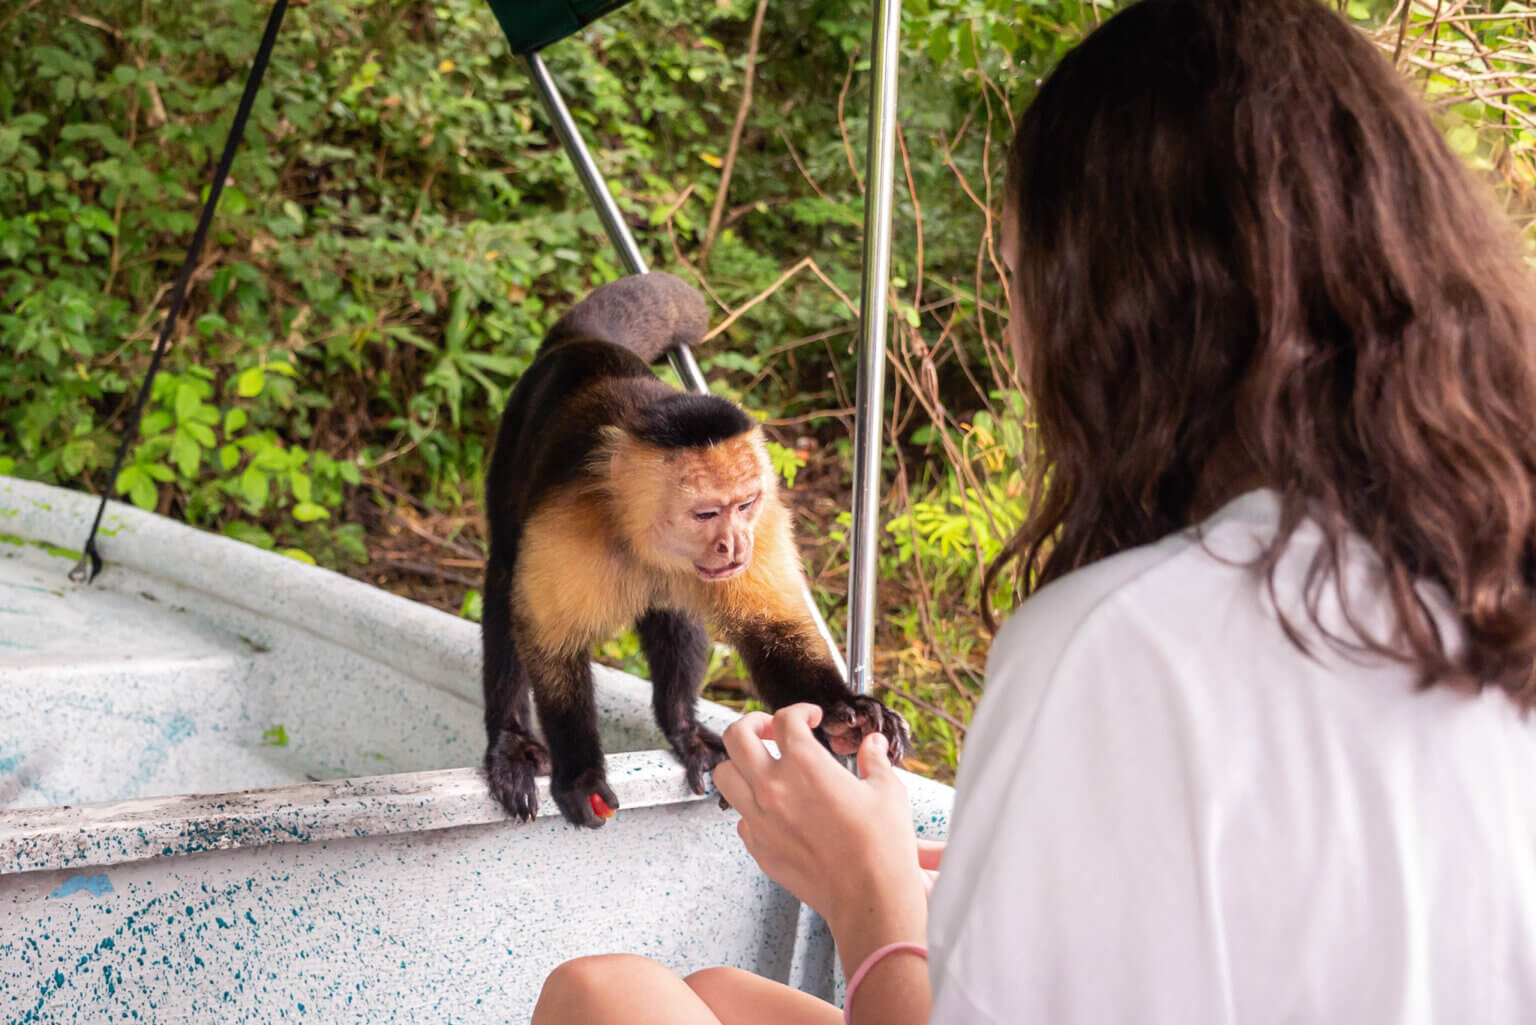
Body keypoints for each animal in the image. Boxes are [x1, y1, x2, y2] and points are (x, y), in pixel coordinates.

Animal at [481, 271, 911, 828]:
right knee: (504, 574)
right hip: (513, 432)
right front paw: (579, 771)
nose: (734, 543)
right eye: (706, 514)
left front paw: (843, 713)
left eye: (745, 504)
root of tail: (583, 343)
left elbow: (770, 630)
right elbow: (552, 641)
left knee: (673, 613)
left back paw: (682, 725)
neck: (641, 534)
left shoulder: (765, 524)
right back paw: (510, 740)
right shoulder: (568, 526)